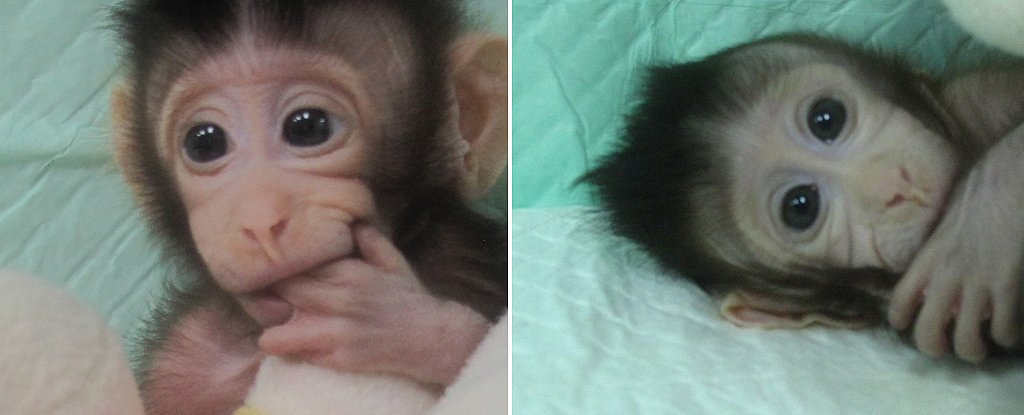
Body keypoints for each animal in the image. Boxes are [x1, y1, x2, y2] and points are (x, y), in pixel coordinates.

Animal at [108, 0, 507, 413]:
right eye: (204, 143)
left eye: (308, 127)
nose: (260, 221)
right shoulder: (177, 359)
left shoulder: (475, 262)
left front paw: (396, 319)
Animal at [582, 33, 1024, 363]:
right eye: (800, 208)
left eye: (826, 118)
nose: (892, 185)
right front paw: (982, 237)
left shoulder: (976, 95)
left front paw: (983, 223)